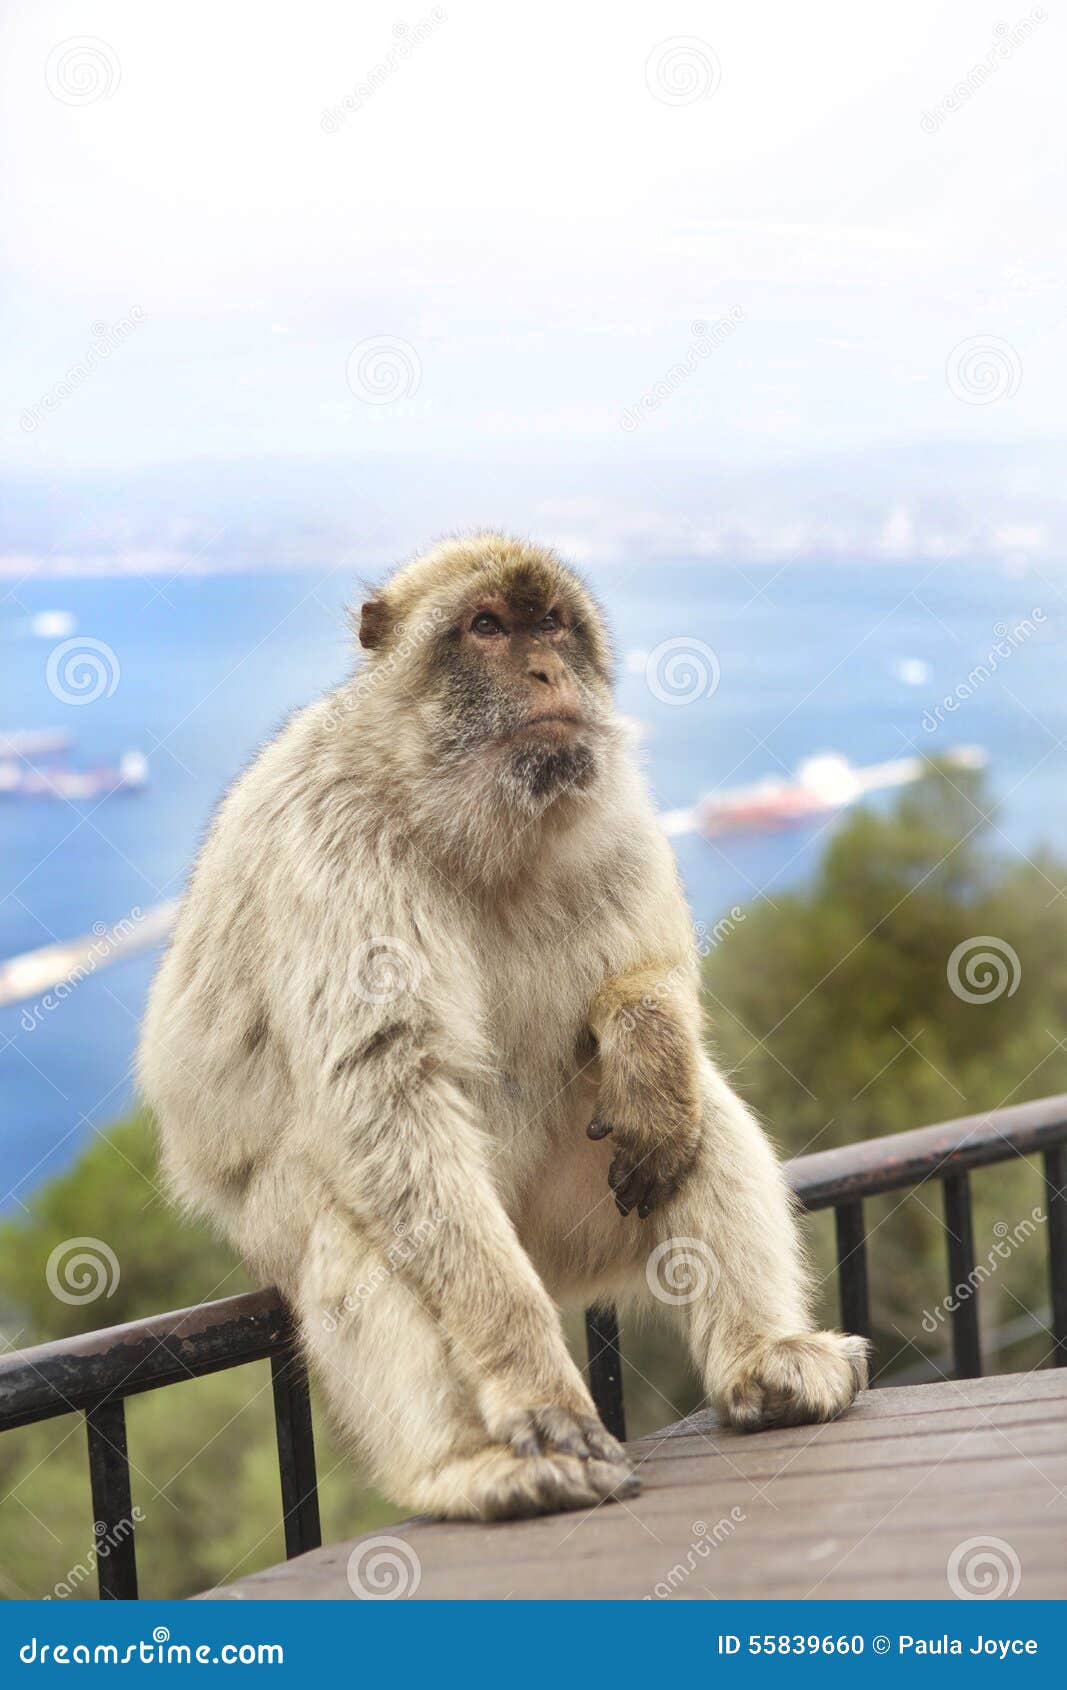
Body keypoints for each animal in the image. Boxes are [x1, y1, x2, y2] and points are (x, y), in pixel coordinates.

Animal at [139, 533, 868, 1523]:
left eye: (552, 623)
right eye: (486, 626)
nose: (545, 669)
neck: (473, 821)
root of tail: (547, 1259)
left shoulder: (612, 800)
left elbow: (658, 971)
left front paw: (644, 1040)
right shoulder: (333, 843)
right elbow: (387, 1092)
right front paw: (538, 1390)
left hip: (583, 1210)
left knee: (697, 1112)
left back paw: (764, 1362)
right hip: (411, 1233)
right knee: (351, 1208)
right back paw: (465, 1467)